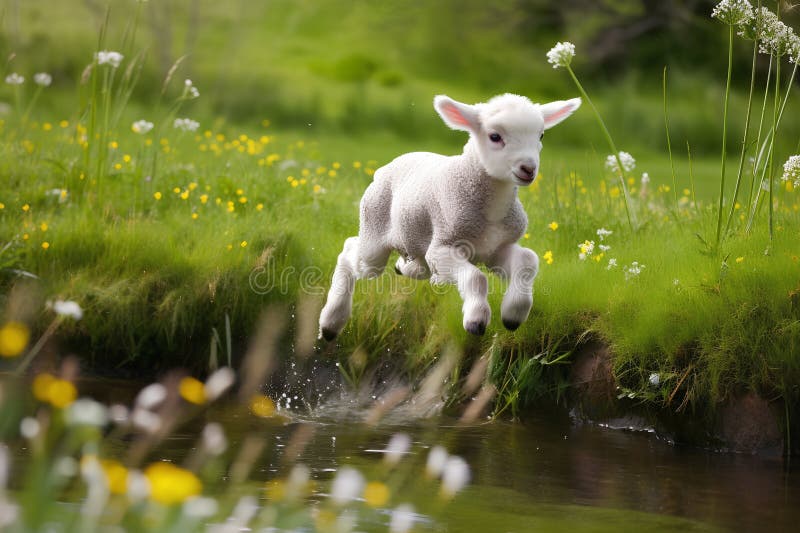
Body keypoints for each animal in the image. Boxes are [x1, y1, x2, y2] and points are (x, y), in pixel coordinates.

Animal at [319, 93, 581, 340]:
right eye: (495, 137)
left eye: (541, 136)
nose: (528, 169)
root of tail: (385, 167)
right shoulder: (444, 246)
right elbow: (476, 278)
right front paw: (476, 320)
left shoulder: (498, 247)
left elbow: (528, 261)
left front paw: (513, 315)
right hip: (374, 228)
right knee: (349, 251)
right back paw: (331, 322)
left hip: (415, 238)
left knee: (419, 265)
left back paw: (408, 270)